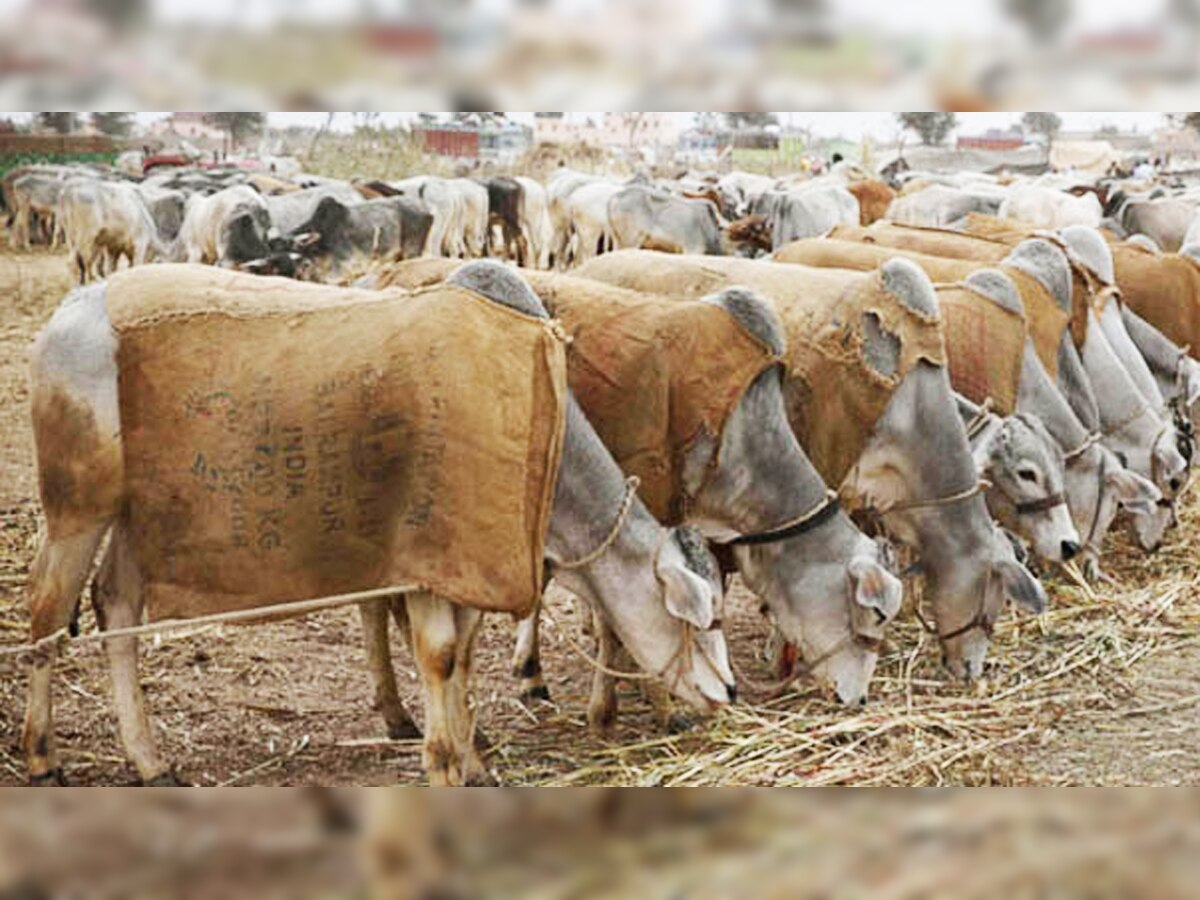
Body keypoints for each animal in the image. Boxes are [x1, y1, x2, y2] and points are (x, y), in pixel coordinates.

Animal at [20, 261, 734, 788]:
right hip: (78, 506)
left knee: (116, 603)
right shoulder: (427, 564)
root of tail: (73, 307)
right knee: (49, 612)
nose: (726, 691)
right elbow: (441, 658)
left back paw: (148, 759)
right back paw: (42, 754)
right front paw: (445, 763)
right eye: (694, 615)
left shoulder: (465, 568)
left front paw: (474, 761)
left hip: (138, 515)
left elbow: (463, 658)